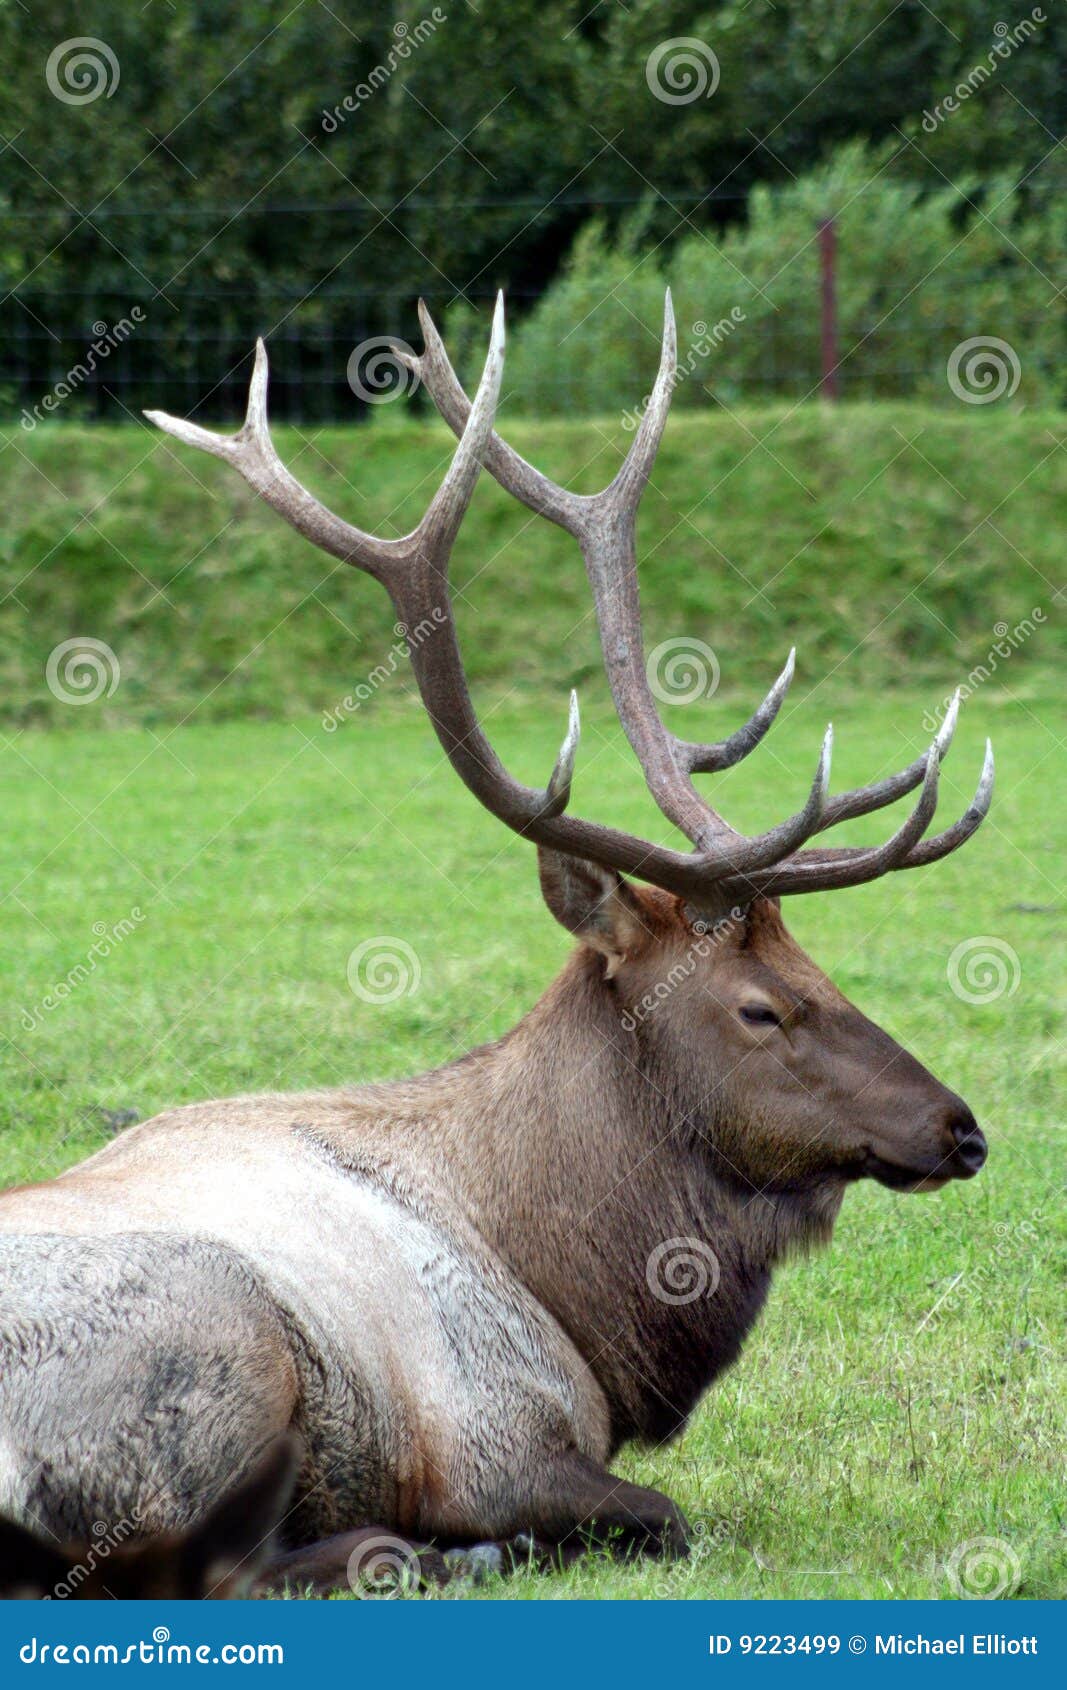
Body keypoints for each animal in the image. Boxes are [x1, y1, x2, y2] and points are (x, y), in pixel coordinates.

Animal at [0, 294, 991, 1596]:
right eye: (759, 1005)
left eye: (813, 970)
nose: (959, 1128)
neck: (571, 1285)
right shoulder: (490, 1430)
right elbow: (667, 1512)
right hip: (218, 1332)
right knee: (243, 1564)